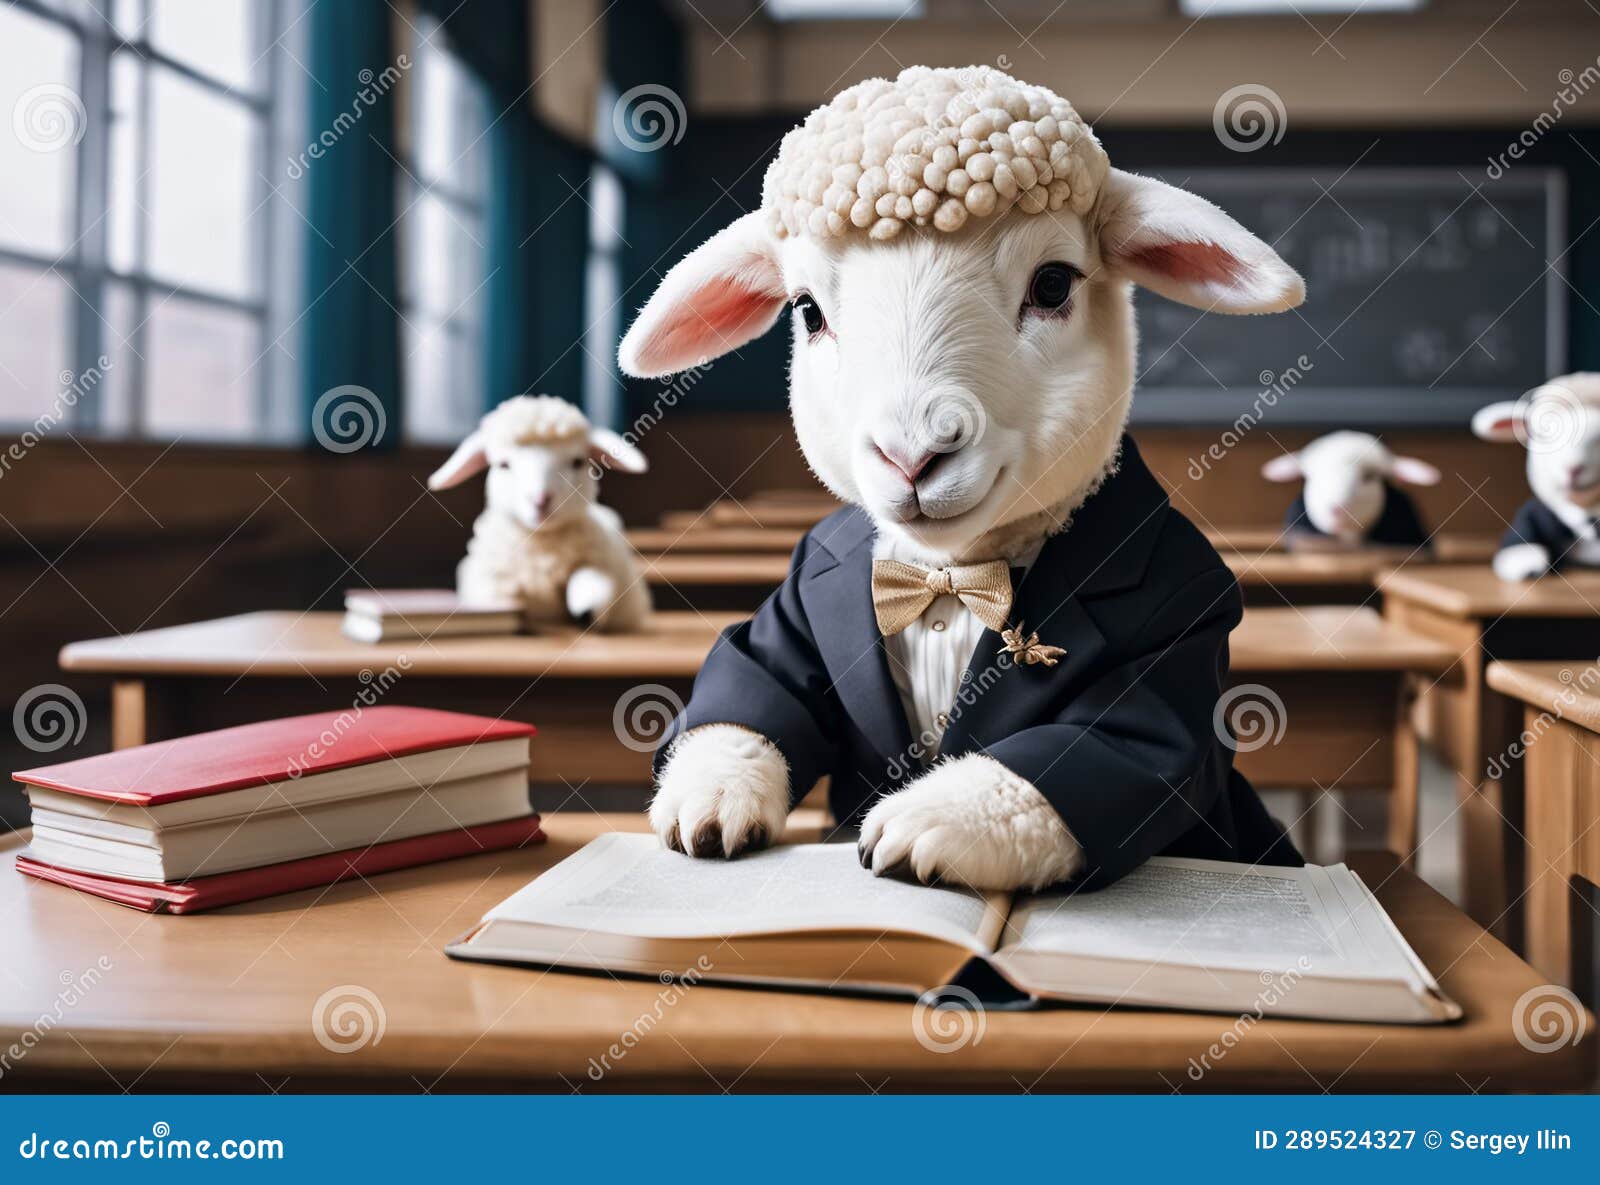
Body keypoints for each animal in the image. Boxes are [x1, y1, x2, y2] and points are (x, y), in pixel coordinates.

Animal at [427, 395, 653, 632]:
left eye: (577, 462)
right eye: (503, 464)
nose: (540, 499)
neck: (542, 549)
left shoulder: (600, 562)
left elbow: (592, 580)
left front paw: (585, 610)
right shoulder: (494, 583)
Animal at [616, 66, 1308, 893]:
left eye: (1052, 285)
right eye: (808, 311)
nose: (913, 455)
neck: (951, 573)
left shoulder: (1185, 610)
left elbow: (1118, 744)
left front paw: (930, 823)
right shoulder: (798, 599)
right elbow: (757, 679)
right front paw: (711, 794)